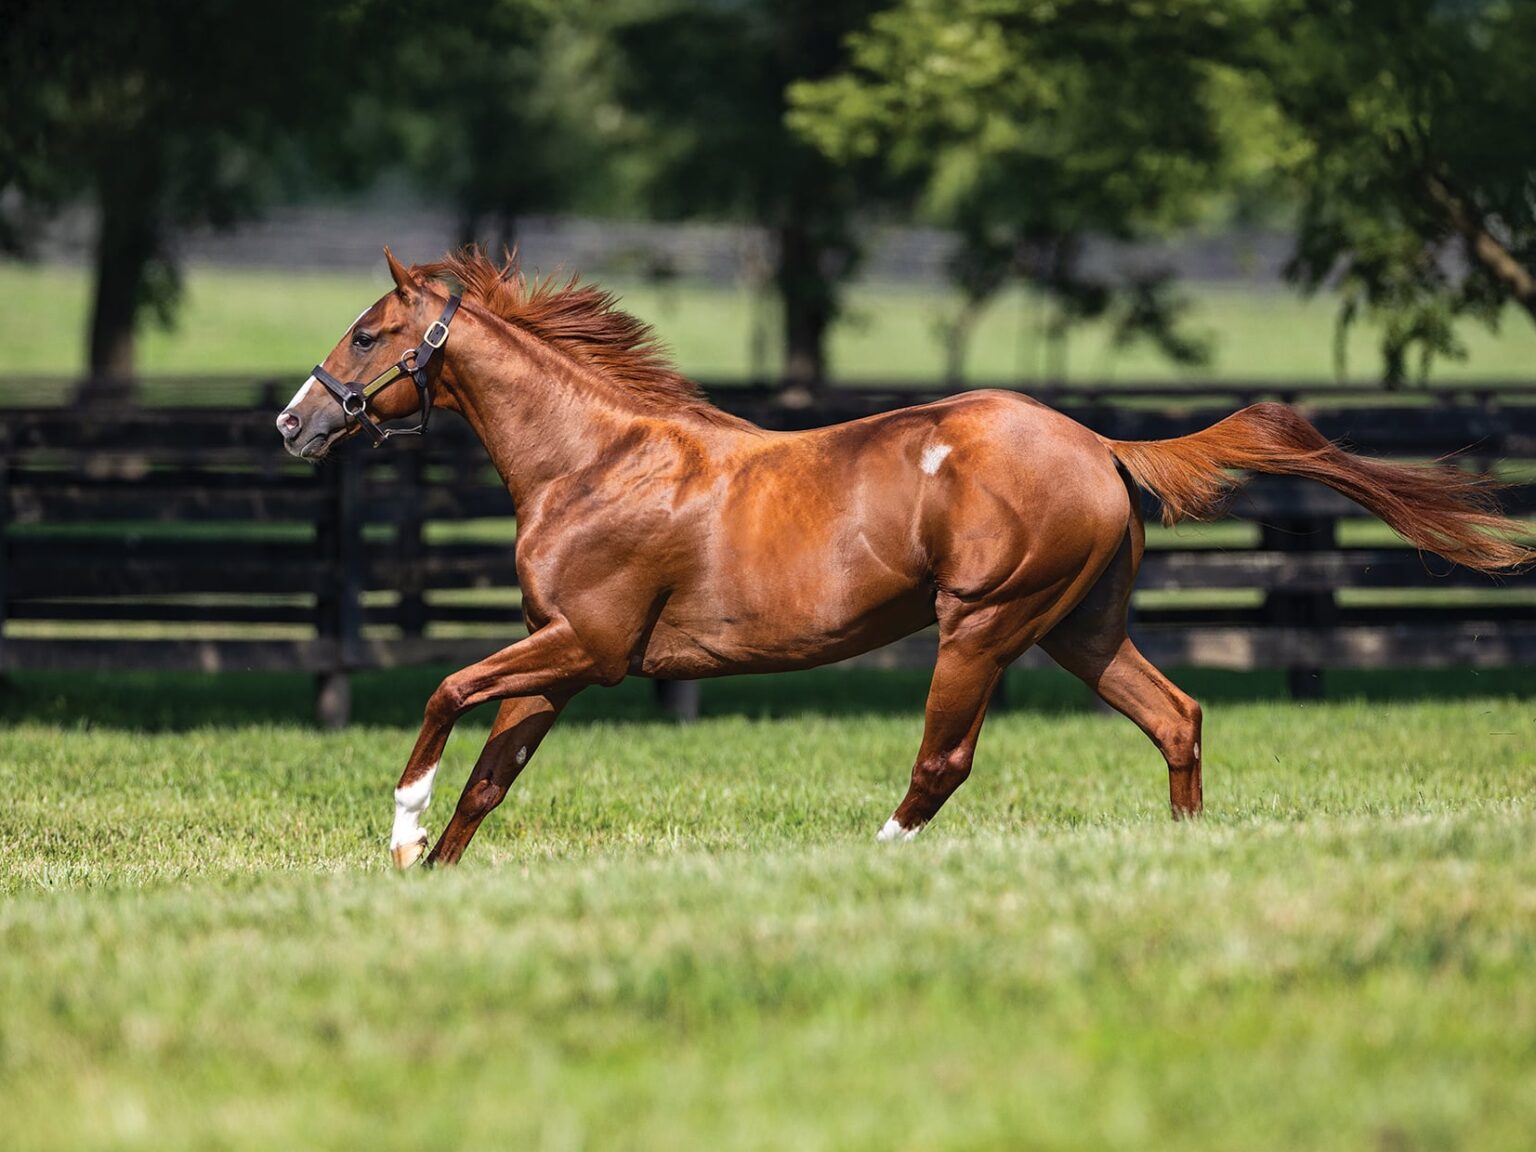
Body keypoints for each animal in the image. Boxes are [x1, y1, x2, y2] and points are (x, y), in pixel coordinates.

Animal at [275, 248, 1533, 868]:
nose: (294, 422)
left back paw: (874, 858)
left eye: (372, 333)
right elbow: (492, 774)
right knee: (1175, 717)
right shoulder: (567, 659)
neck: (596, 463)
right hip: (1084, 629)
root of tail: (1099, 444)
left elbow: (445, 691)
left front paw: (399, 832)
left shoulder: (587, 645)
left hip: (982, 623)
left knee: (945, 760)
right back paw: (1184, 851)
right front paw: (431, 873)